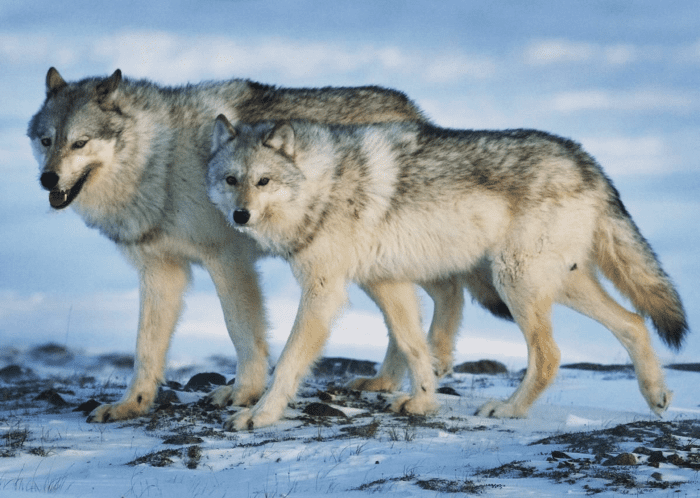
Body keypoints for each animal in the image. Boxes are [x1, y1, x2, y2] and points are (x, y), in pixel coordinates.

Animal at [27, 67, 469, 423]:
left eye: (80, 143)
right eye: (47, 140)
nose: (48, 179)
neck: (161, 161)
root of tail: (411, 109)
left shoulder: (227, 259)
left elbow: (240, 330)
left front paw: (245, 394)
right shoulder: (160, 271)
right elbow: (146, 348)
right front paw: (131, 405)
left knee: (449, 287)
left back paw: (437, 359)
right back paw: (387, 380)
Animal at [206, 117, 688, 430]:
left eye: (263, 181)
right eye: (231, 180)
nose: (240, 215)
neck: (323, 186)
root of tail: (587, 160)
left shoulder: (324, 292)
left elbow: (288, 362)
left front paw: (261, 414)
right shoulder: (387, 283)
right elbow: (414, 346)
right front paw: (423, 401)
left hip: (515, 282)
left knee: (550, 355)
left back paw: (508, 410)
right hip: (555, 283)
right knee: (634, 322)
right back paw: (656, 396)